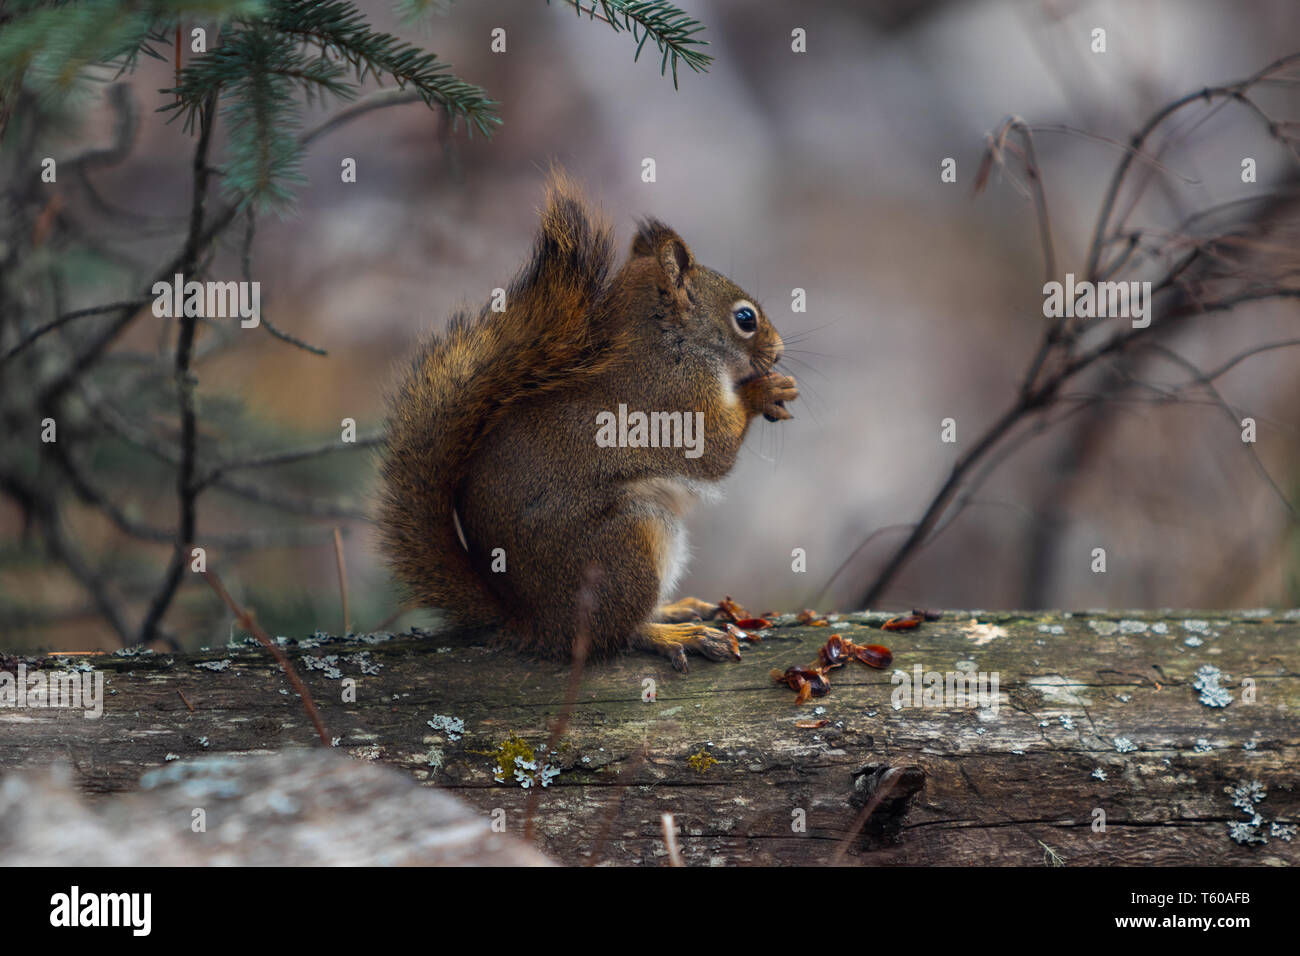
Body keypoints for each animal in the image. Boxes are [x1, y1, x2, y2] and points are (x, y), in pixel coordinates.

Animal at [378, 172, 797, 672]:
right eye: (745, 318)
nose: (779, 352)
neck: (672, 343)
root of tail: (532, 622)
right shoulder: (678, 398)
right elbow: (713, 452)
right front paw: (764, 391)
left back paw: (678, 609)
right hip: (626, 544)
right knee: (613, 634)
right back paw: (676, 633)